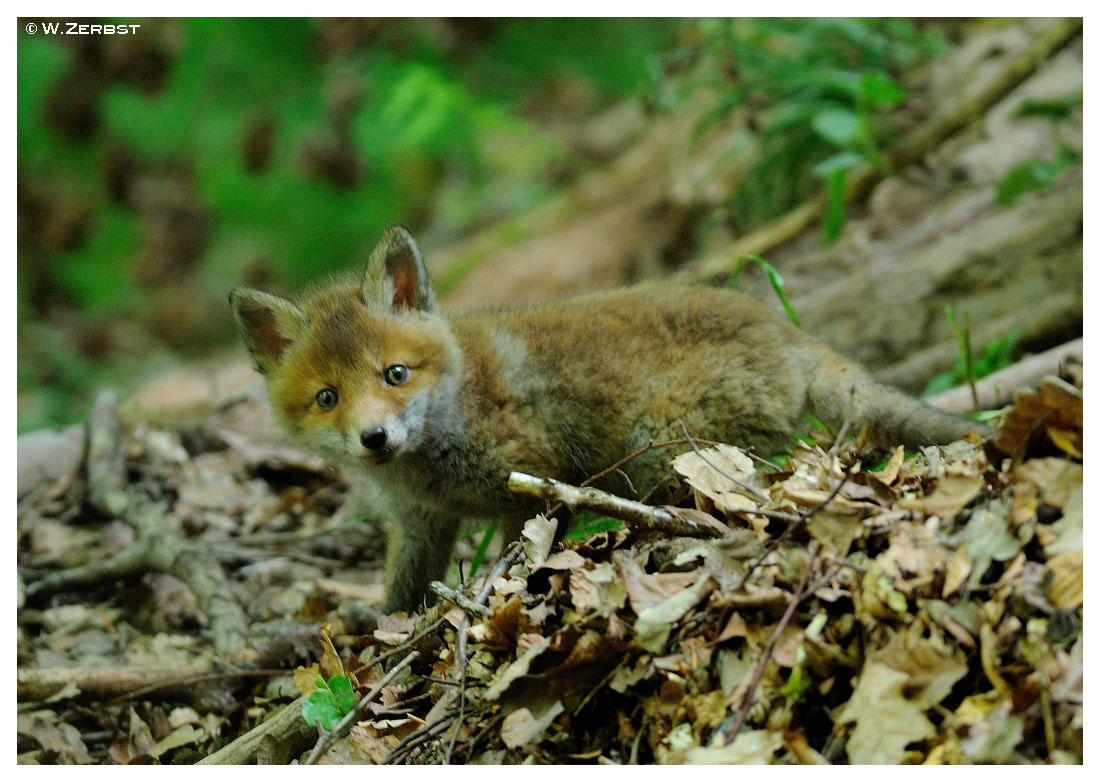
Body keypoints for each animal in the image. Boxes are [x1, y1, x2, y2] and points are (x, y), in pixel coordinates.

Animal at [230, 226, 991, 612]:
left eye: (394, 375)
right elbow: (398, 599)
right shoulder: (421, 525)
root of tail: (785, 330)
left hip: (662, 445)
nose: (376, 438)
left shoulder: (534, 485)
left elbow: (513, 558)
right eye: (327, 398)